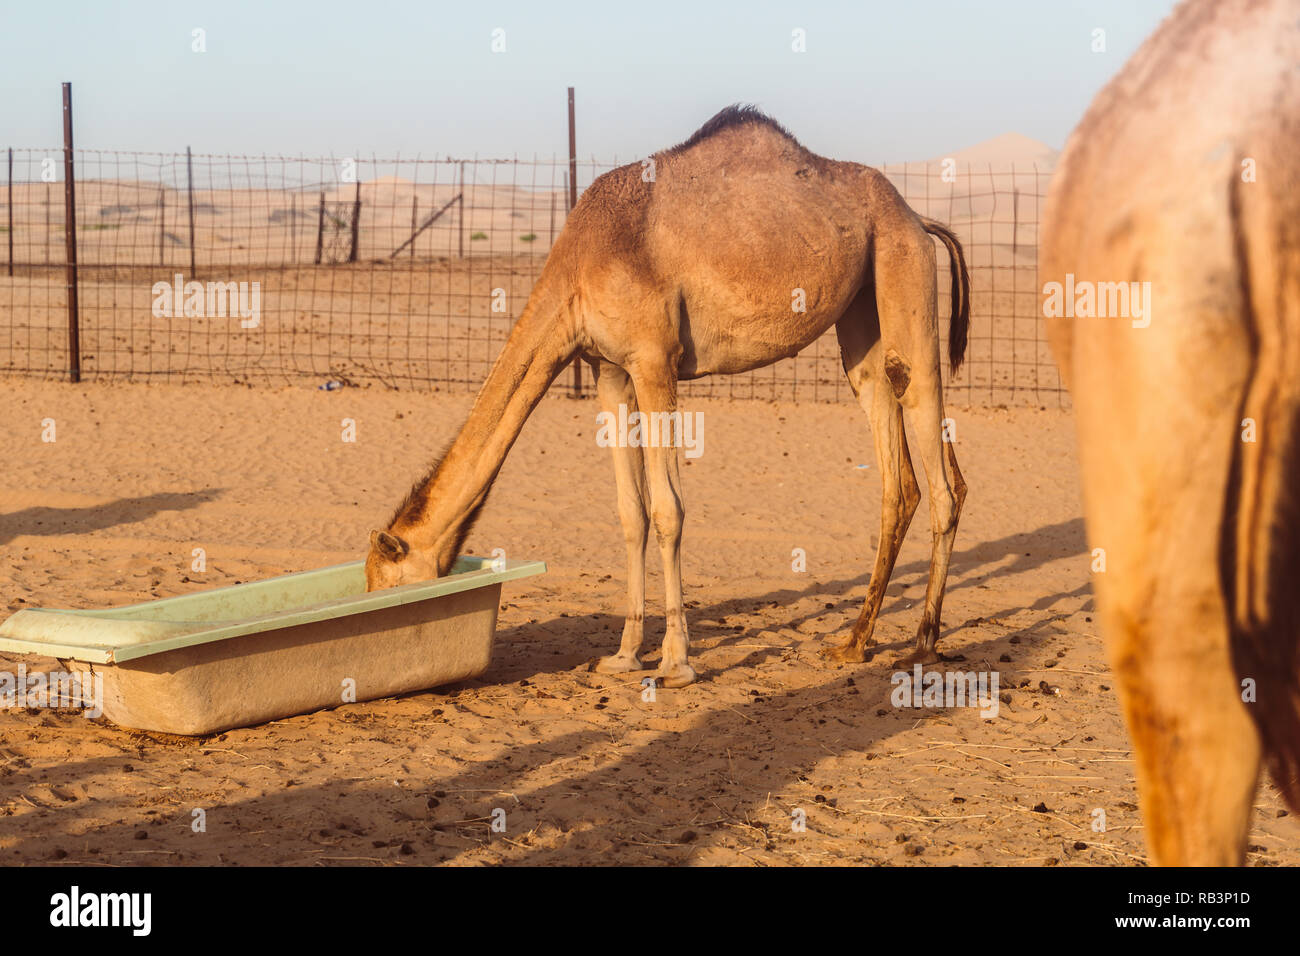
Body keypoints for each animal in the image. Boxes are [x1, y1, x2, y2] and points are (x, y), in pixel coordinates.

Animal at [365, 105, 970, 688]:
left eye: (387, 585)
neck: (580, 266)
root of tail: (918, 218)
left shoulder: (656, 359)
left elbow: (667, 509)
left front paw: (676, 663)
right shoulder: (609, 369)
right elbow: (631, 513)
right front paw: (623, 656)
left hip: (903, 269)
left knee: (936, 461)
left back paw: (922, 643)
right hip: (862, 314)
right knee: (900, 472)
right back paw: (853, 642)